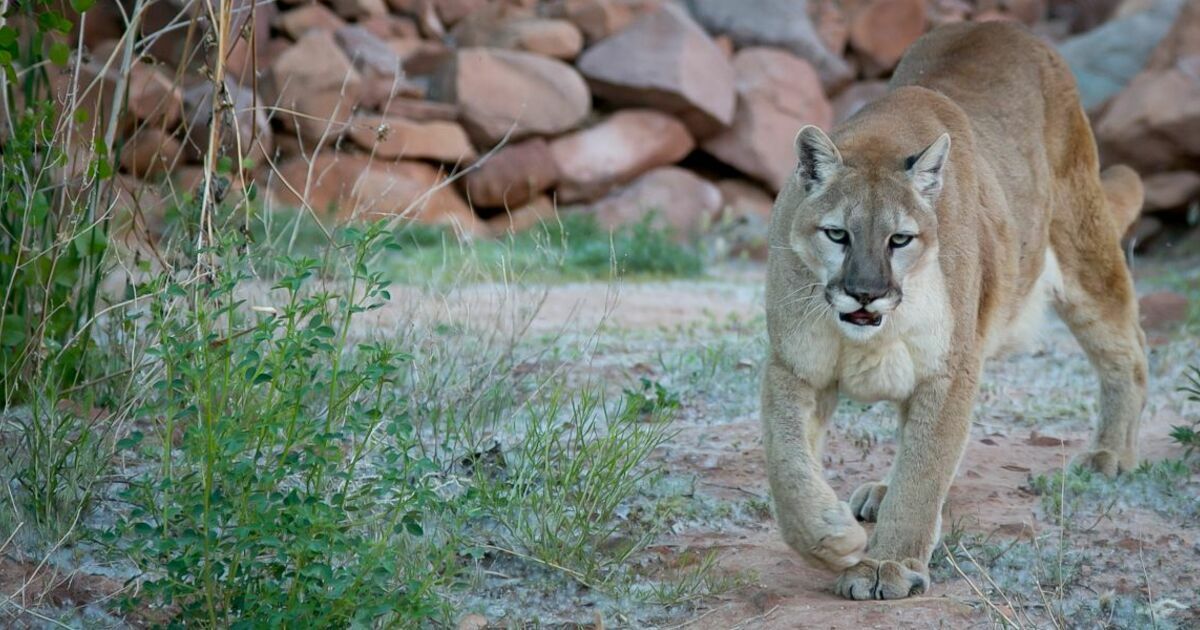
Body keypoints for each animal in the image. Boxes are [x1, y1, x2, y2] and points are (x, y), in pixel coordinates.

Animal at [762, 21, 1148, 600]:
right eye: (837, 234)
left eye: (900, 239)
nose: (865, 293)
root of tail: (1000, 24)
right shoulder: (793, 364)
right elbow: (787, 461)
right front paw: (832, 538)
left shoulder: (950, 371)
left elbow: (924, 473)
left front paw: (887, 564)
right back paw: (879, 493)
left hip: (1084, 248)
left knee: (1128, 349)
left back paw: (1111, 455)